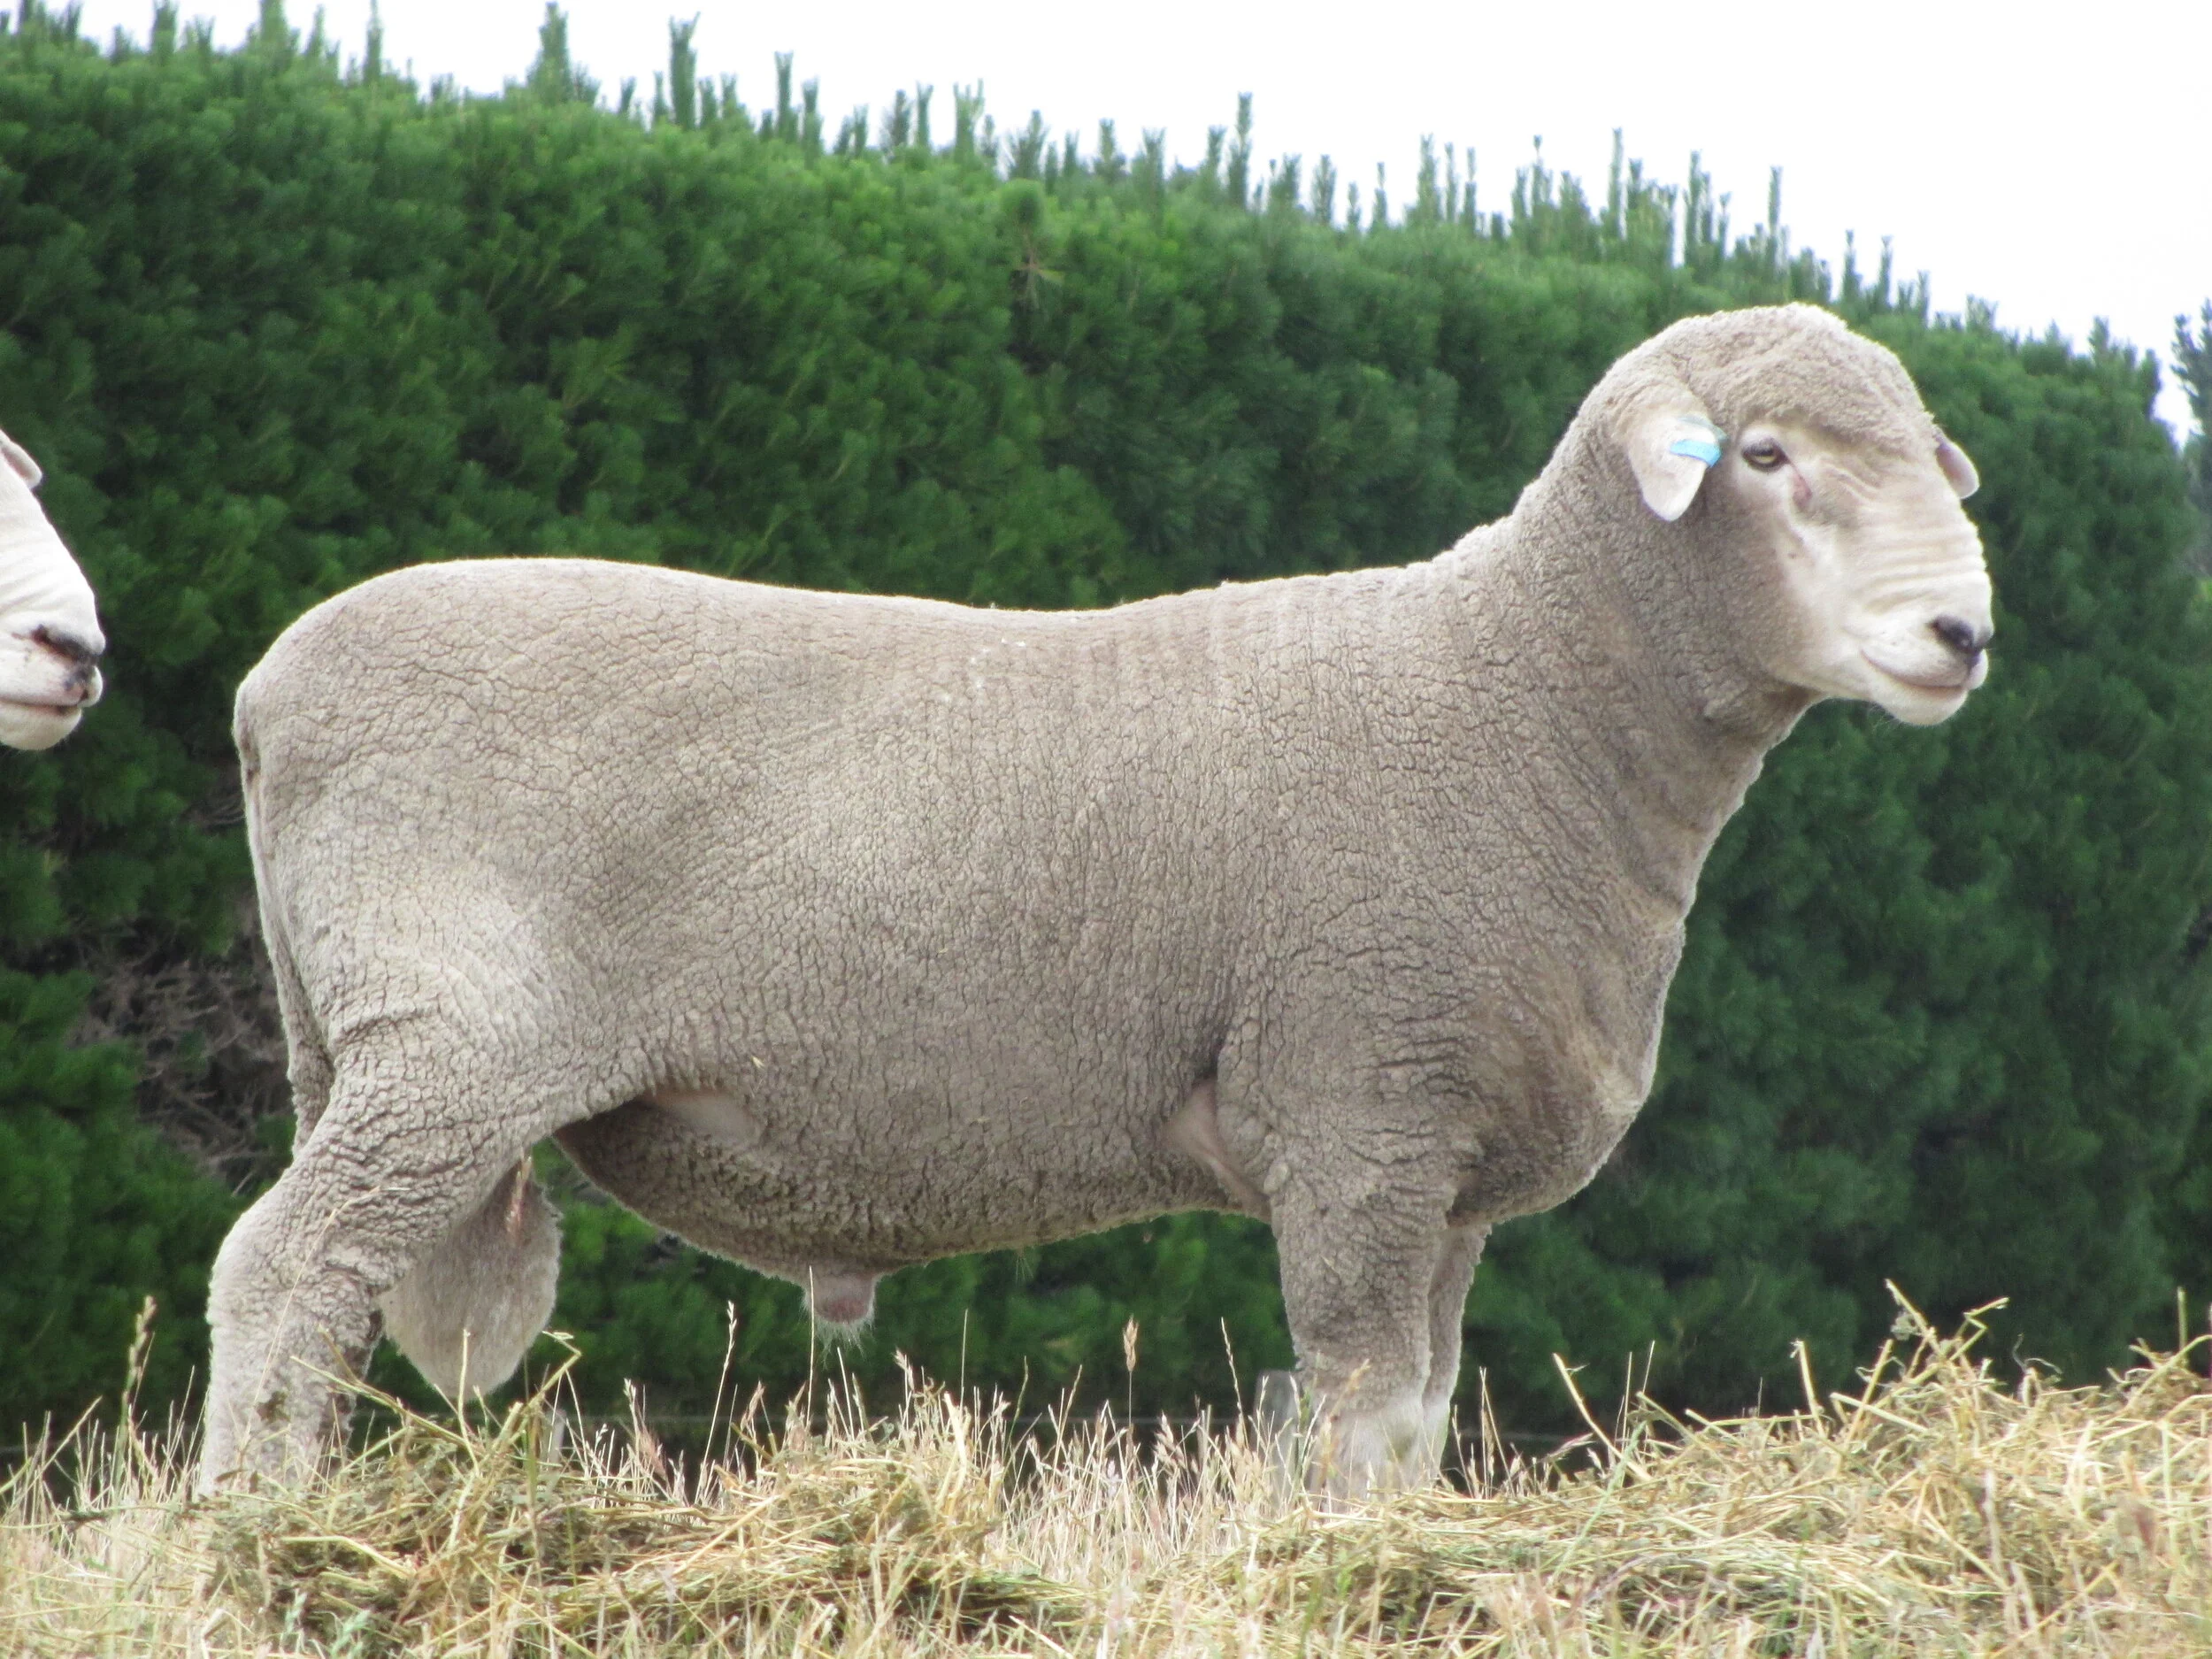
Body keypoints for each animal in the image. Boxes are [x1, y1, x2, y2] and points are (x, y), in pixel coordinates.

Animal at [201, 304, 1992, 1494]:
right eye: (1766, 457)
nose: (1964, 634)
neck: (1525, 704)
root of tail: (269, 691)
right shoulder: (1358, 1111)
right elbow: (1353, 1407)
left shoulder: (1448, 1165)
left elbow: (1417, 1413)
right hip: (454, 1033)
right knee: (279, 1270)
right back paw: (248, 1535)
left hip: (365, 1043)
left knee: (326, 1295)